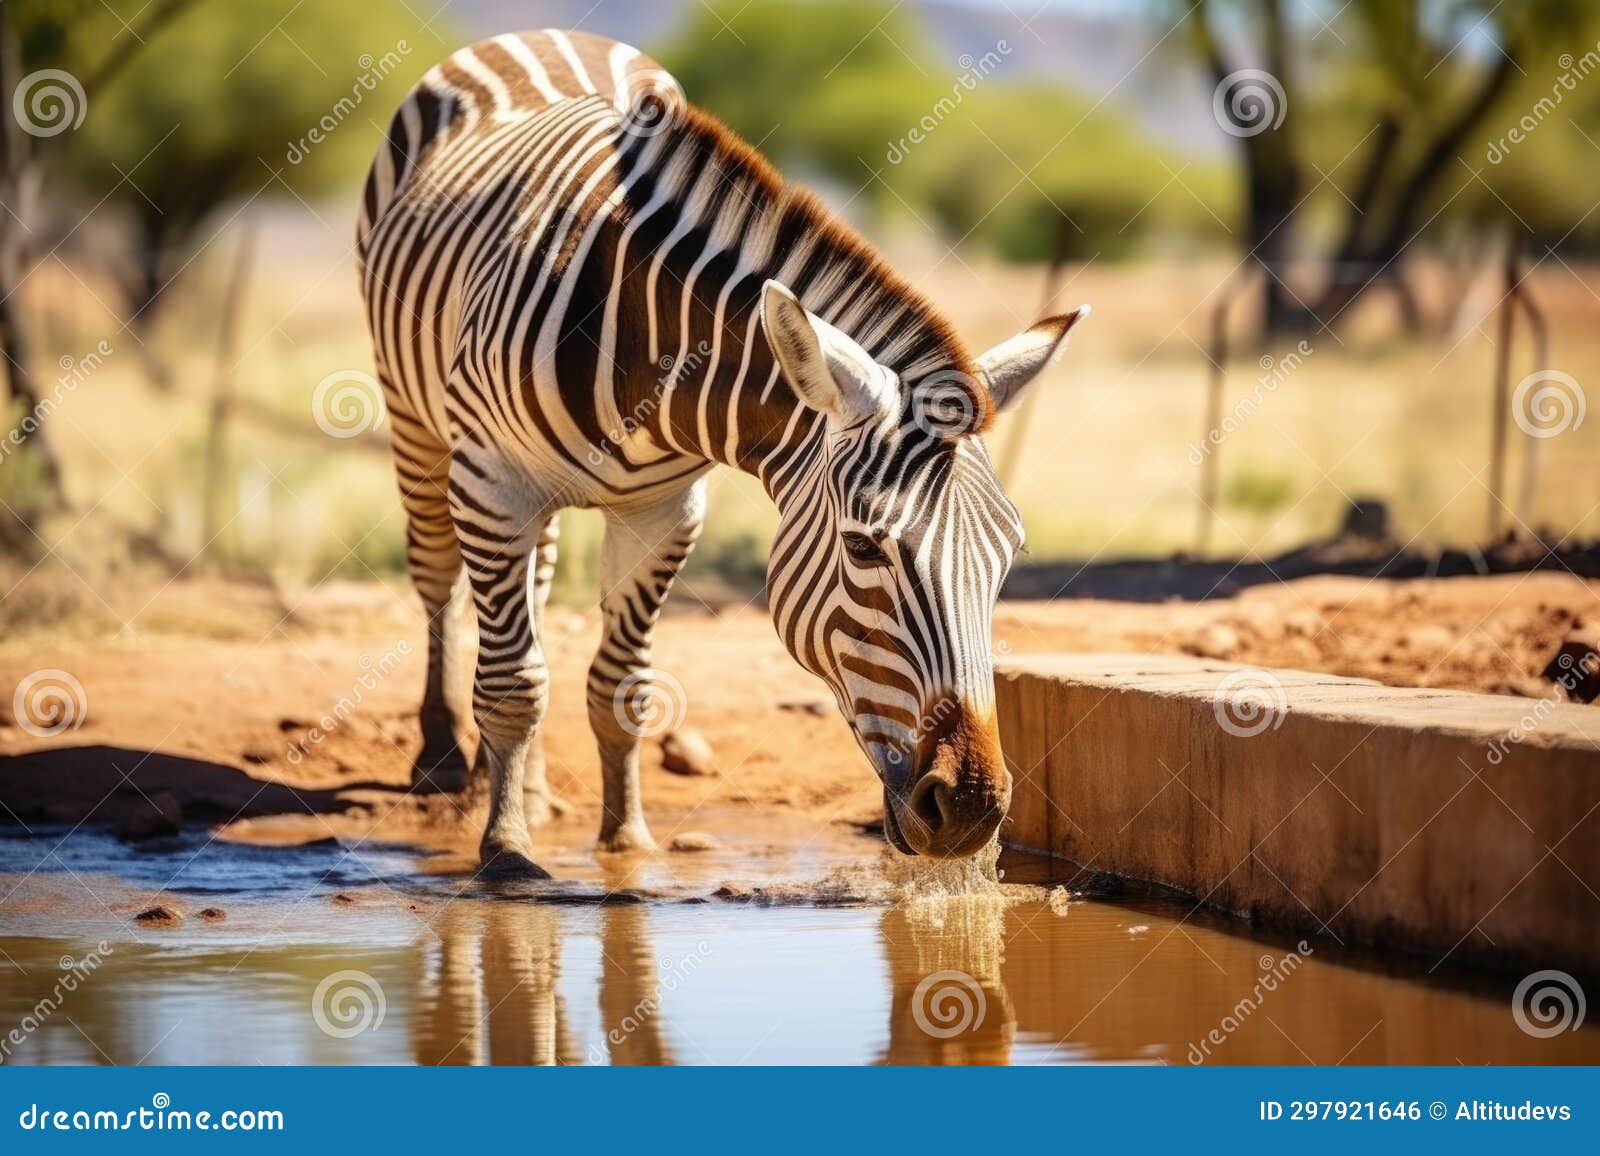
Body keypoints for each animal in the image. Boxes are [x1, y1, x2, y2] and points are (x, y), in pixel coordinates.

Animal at [356, 30, 1088, 876]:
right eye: (866, 550)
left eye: (1010, 558)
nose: (971, 811)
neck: (645, 347)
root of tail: (547, 35)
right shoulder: (495, 483)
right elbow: (512, 682)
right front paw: (506, 853)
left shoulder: (663, 512)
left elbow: (622, 687)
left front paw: (624, 840)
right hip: (420, 423)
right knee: (438, 574)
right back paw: (445, 759)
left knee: (531, 590)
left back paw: (528, 788)